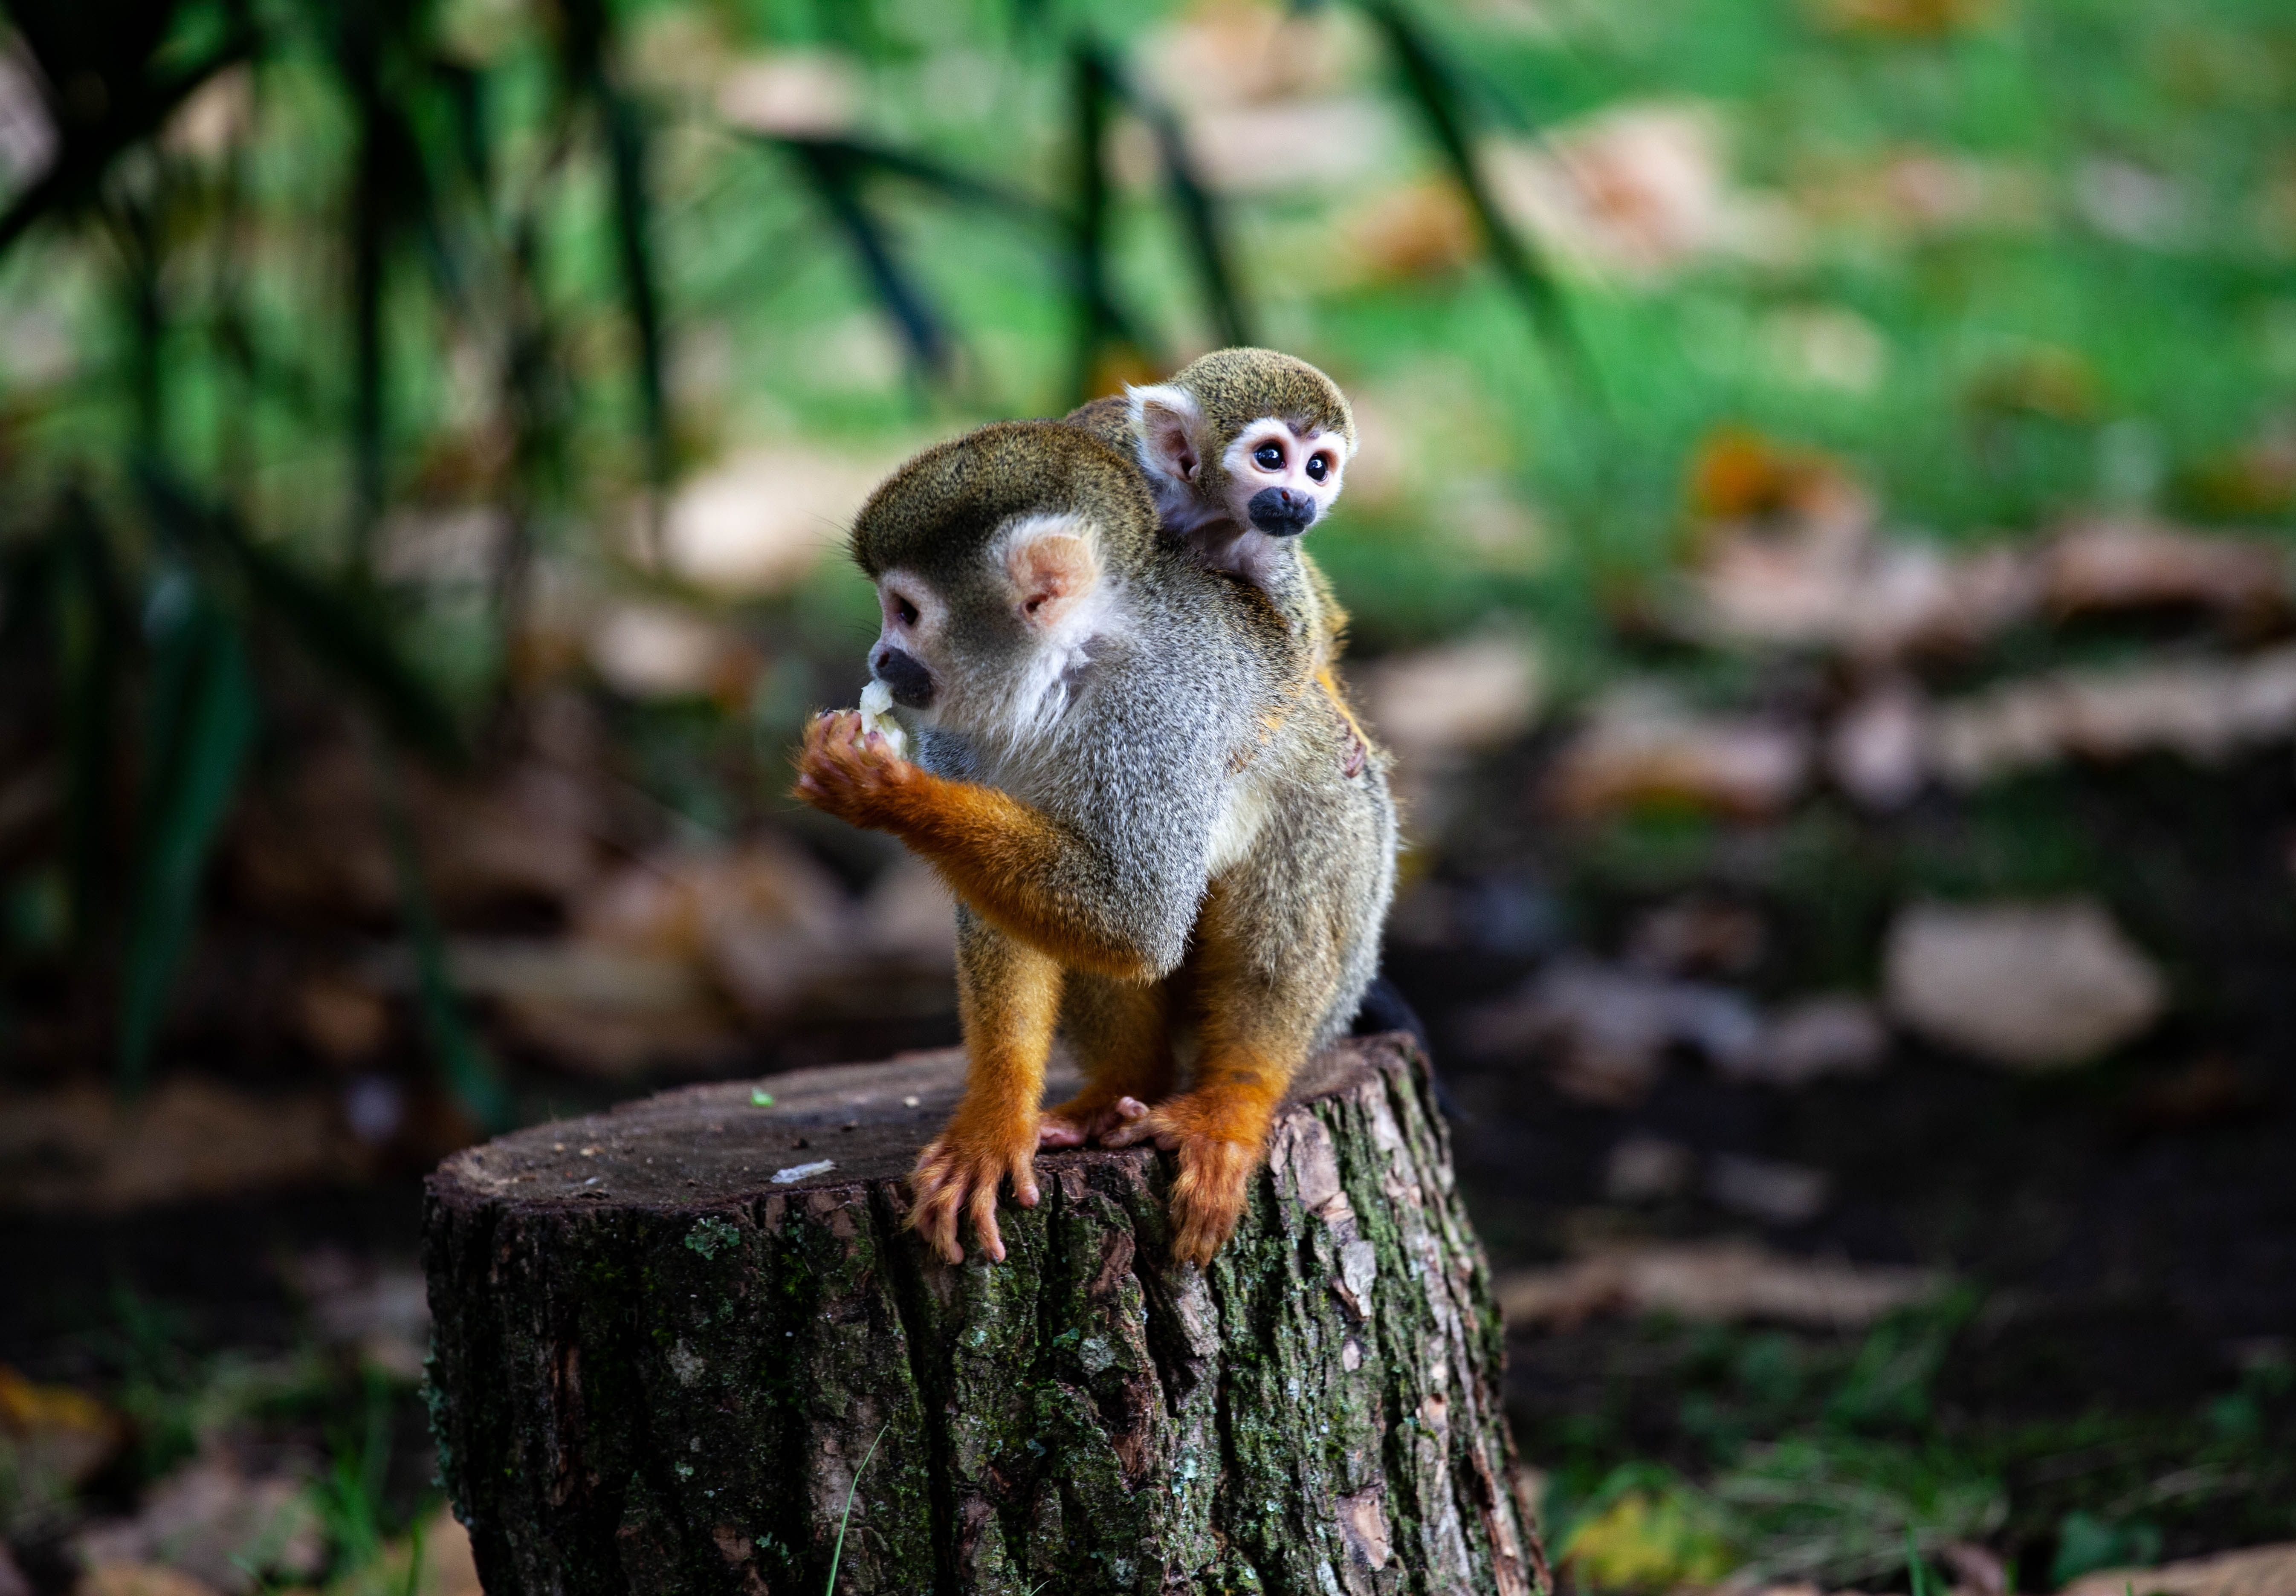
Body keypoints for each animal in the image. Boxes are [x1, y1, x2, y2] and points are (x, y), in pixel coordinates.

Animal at [792, 421, 1396, 1268]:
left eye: (905, 611)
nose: (880, 659)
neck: (1067, 671)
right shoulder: (958, 726)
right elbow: (1015, 929)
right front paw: (993, 1123)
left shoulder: (1159, 712)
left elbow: (1137, 918)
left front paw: (880, 788)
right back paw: (1118, 1087)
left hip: (1355, 876)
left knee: (1289, 890)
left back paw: (1232, 1100)